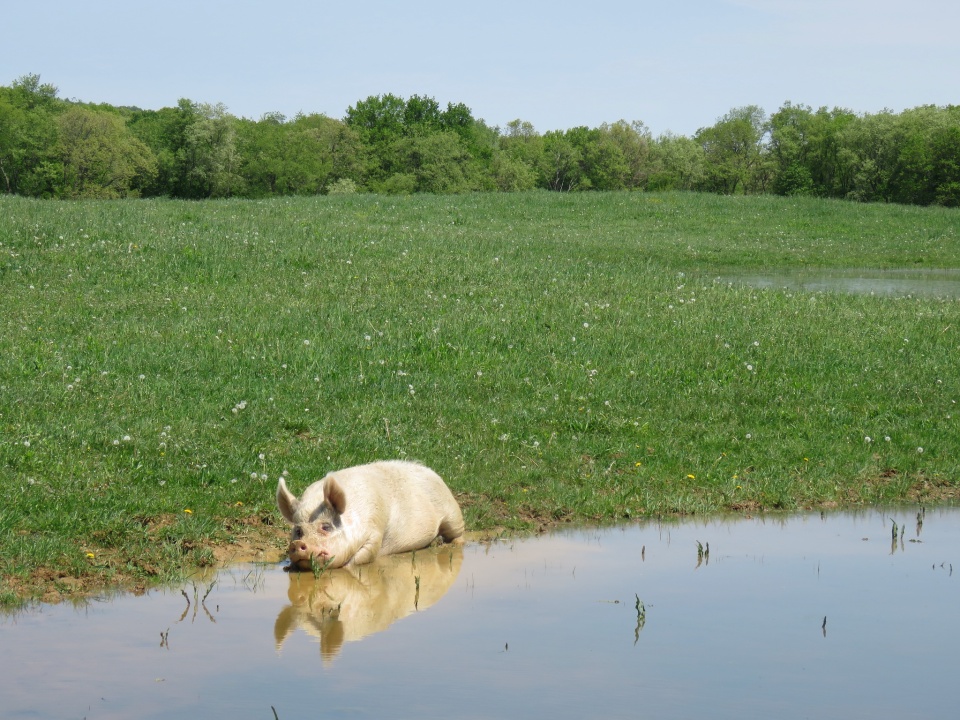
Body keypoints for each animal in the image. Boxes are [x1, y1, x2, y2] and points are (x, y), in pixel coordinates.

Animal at [276, 460, 464, 570]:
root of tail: (433, 473)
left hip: (452, 513)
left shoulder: (375, 531)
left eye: (326, 526)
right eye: (298, 531)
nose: (298, 544)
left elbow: (360, 559)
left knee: (458, 533)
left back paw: (450, 544)